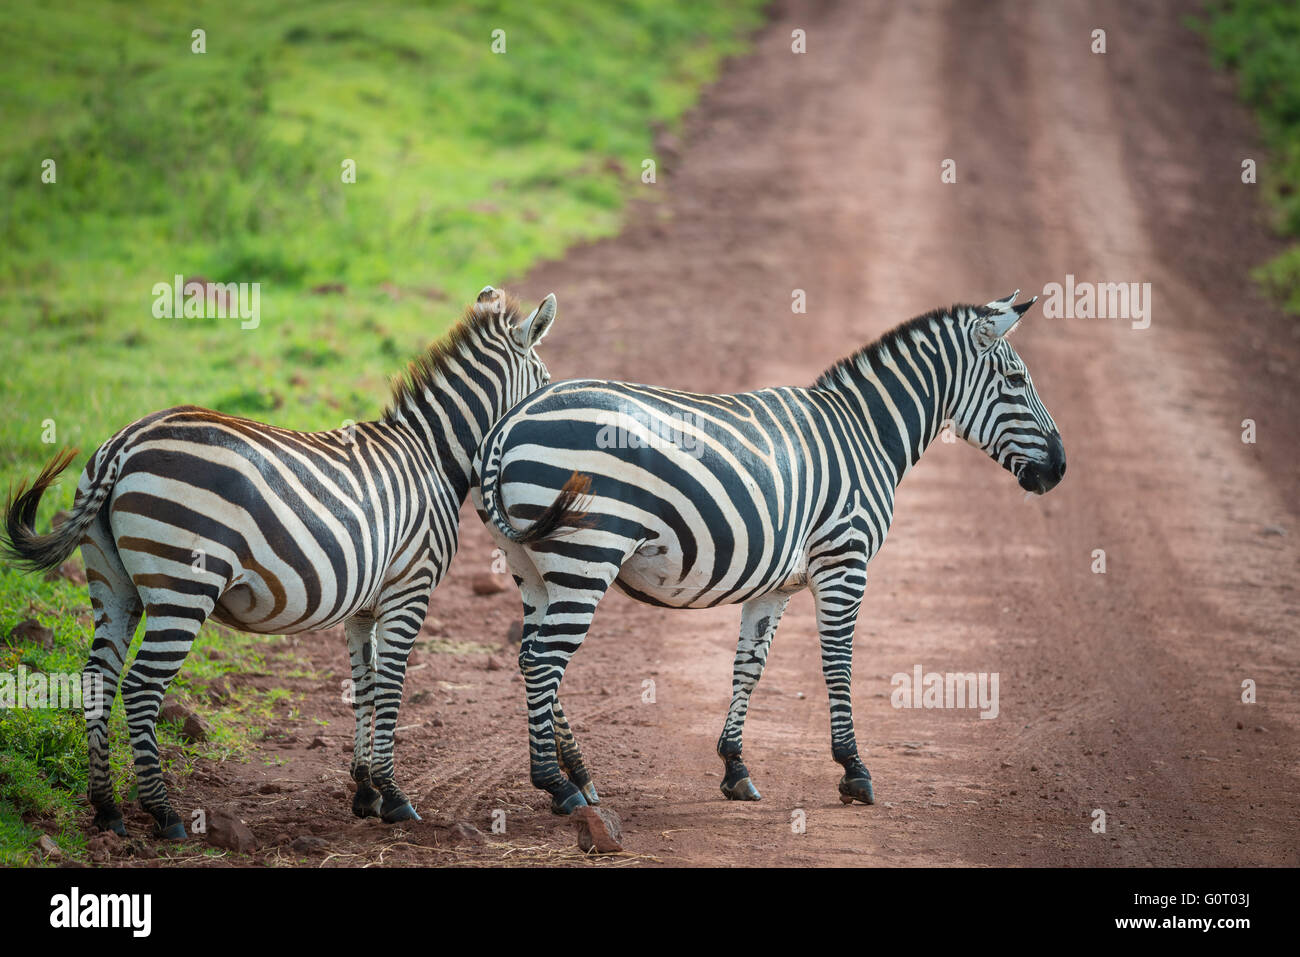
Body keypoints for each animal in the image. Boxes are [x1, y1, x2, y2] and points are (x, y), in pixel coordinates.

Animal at [2, 286, 558, 839]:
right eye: (546, 382)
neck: (432, 456)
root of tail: (124, 444)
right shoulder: (409, 587)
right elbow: (391, 687)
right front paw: (395, 796)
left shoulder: (364, 604)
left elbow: (365, 687)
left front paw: (366, 791)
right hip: (182, 587)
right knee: (140, 687)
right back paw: (165, 814)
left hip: (111, 582)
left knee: (97, 679)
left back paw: (107, 810)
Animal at [471, 291, 1064, 813]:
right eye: (1016, 380)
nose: (1059, 469)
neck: (866, 434)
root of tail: (511, 421)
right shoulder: (844, 561)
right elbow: (838, 663)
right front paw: (854, 771)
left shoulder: (775, 585)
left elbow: (749, 667)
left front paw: (735, 768)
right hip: (586, 557)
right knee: (545, 661)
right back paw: (558, 786)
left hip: (530, 568)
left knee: (529, 656)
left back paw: (576, 776)